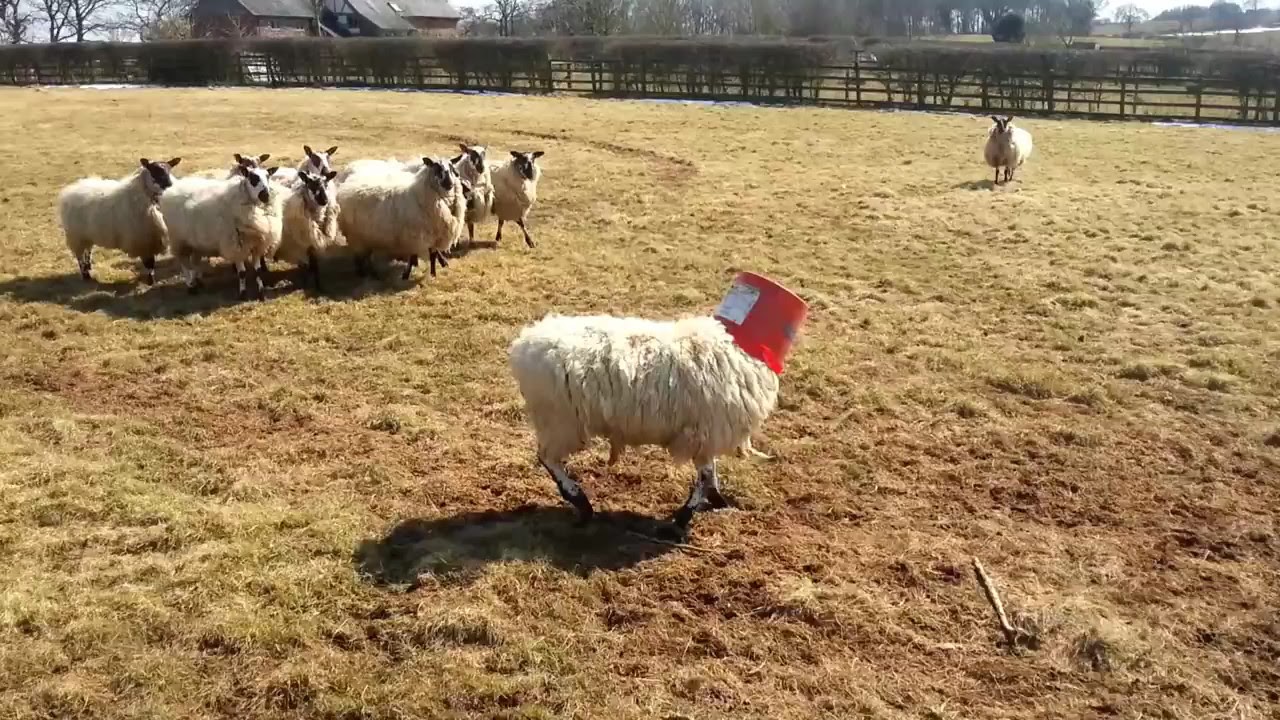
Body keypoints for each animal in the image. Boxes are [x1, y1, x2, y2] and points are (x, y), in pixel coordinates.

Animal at [57, 157, 182, 286]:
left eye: (169, 169)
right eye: (153, 169)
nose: (169, 185)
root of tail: (72, 189)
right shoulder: (143, 241)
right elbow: (149, 263)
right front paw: (150, 281)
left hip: (87, 236)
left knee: (88, 252)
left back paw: (88, 267)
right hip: (76, 236)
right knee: (80, 256)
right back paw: (86, 274)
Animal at [160, 163, 283, 300]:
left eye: (268, 176)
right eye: (252, 177)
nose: (265, 195)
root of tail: (170, 190)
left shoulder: (257, 245)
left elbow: (258, 271)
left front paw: (262, 293)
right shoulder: (236, 246)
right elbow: (242, 273)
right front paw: (243, 293)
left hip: (196, 243)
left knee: (195, 262)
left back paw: (198, 282)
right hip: (179, 240)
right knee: (184, 264)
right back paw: (191, 286)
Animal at [336, 157, 466, 280]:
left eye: (451, 167)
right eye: (437, 167)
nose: (449, 183)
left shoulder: (434, 236)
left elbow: (433, 255)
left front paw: (434, 273)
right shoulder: (413, 237)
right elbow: (413, 256)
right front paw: (406, 274)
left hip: (366, 236)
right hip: (356, 236)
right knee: (360, 257)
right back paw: (364, 273)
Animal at [508, 313, 782, 537]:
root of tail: (525, 344)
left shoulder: (706, 436)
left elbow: (710, 472)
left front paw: (716, 500)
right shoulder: (703, 431)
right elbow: (704, 476)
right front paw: (683, 518)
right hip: (561, 421)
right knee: (548, 458)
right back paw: (580, 501)